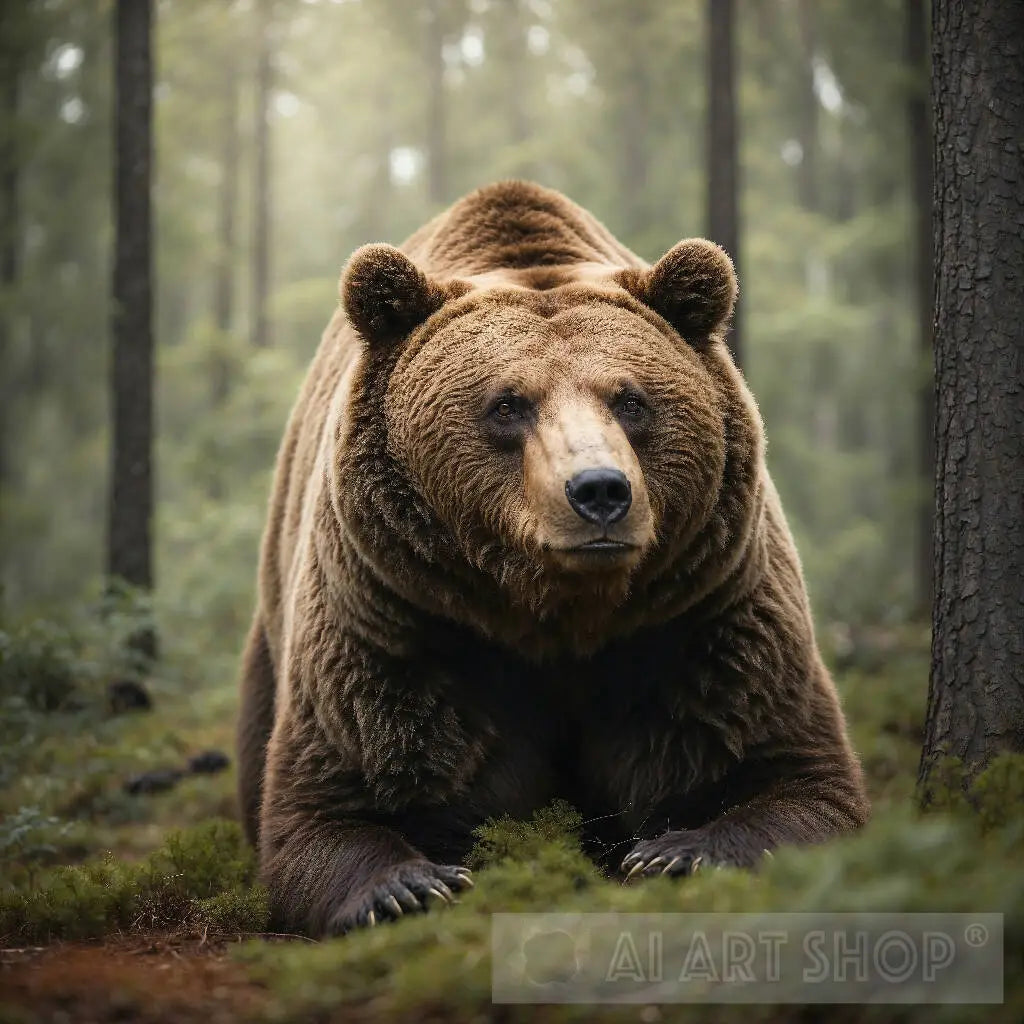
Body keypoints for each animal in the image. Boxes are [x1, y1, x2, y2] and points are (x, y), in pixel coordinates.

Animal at [237, 180, 869, 936]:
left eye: (632, 400)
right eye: (508, 405)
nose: (599, 491)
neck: (557, 614)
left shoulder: (708, 616)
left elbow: (794, 772)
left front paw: (680, 851)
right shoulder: (395, 618)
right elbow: (330, 796)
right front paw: (407, 885)